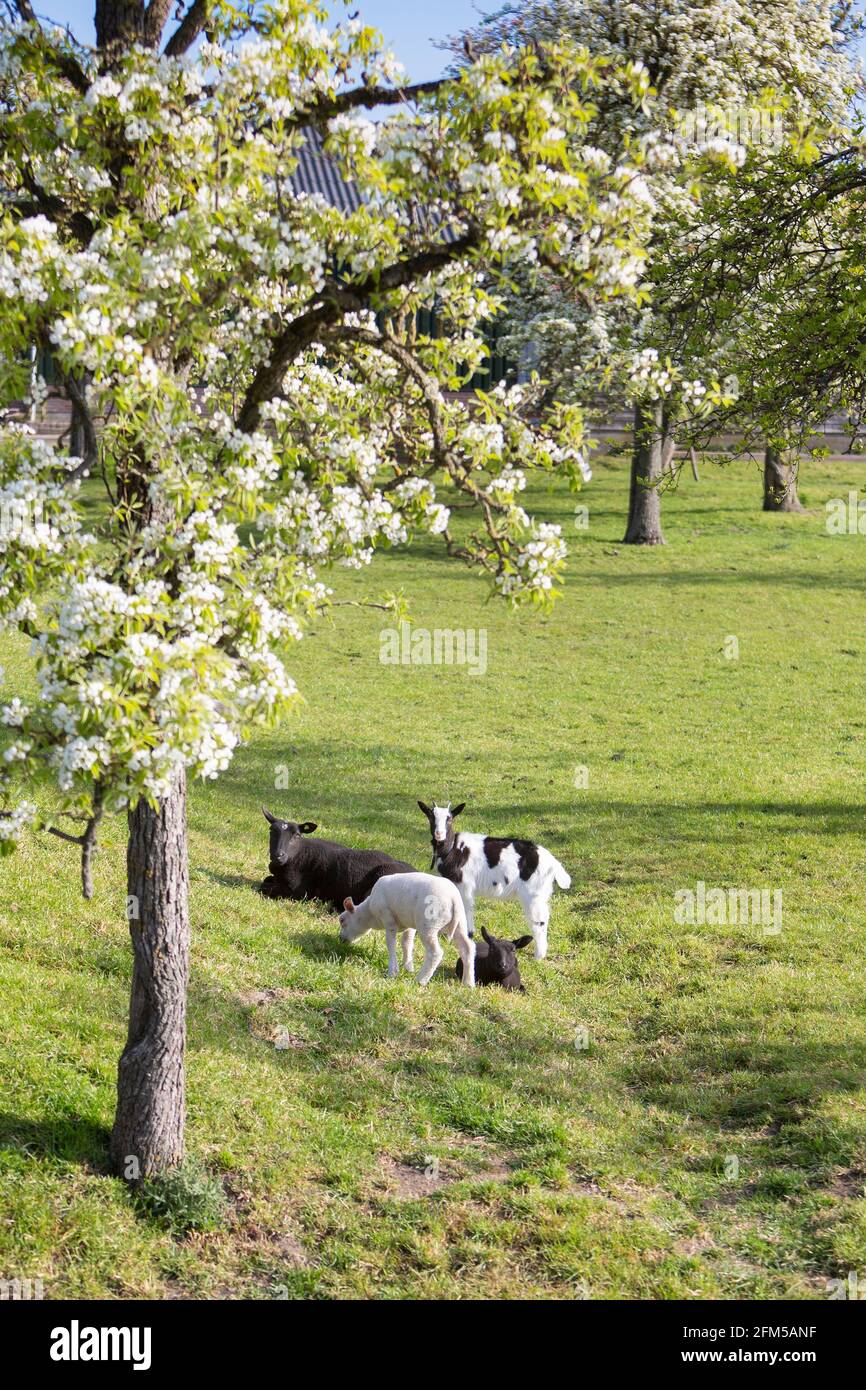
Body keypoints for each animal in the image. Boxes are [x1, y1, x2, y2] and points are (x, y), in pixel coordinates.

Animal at [260, 809, 415, 913]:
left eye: (297, 835)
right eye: (271, 831)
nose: (278, 855)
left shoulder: (298, 892)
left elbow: (264, 886)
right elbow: (267, 879)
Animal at [339, 871, 476, 987]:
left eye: (342, 921)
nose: (341, 940)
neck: (370, 914)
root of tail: (453, 898)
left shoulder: (388, 919)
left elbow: (391, 944)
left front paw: (393, 971)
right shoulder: (409, 925)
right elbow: (406, 943)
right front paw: (408, 967)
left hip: (428, 924)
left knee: (435, 953)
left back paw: (421, 980)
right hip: (460, 922)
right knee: (467, 948)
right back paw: (468, 983)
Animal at [418, 800, 571, 959]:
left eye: (450, 818)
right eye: (431, 817)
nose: (439, 834)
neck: (453, 849)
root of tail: (553, 863)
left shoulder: (465, 886)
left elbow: (465, 909)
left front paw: (468, 934)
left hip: (533, 892)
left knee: (539, 921)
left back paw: (538, 956)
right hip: (542, 893)